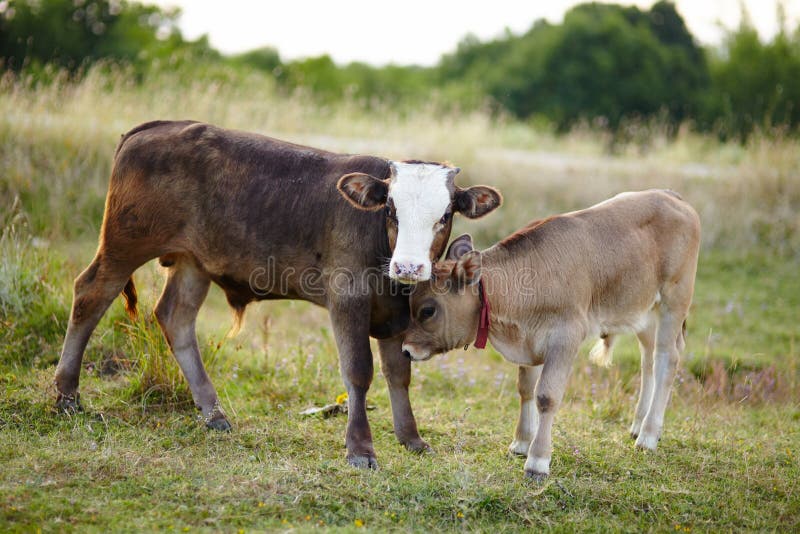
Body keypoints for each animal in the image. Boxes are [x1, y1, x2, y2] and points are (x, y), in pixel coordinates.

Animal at [53, 120, 502, 468]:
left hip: (193, 262)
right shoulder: (347, 297)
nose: (408, 266)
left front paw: (410, 438)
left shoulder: (395, 312)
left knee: (175, 318)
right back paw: (67, 395)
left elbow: (399, 373)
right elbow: (359, 371)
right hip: (124, 243)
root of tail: (154, 127)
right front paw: (360, 448)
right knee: (90, 294)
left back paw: (213, 412)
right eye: (390, 210)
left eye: (445, 215)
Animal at [401, 190, 700, 479]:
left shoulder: (565, 337)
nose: (405, 349)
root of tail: (669, 195)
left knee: (667, 360)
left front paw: (537, 461)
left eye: (428, 310)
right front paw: (522, 442)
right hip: (644, 310)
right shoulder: (528, 339)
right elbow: (525, 389)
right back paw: (639, 424)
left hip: (675, 299)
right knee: (648, 360)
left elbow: (546, 396)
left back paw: (648, 435)